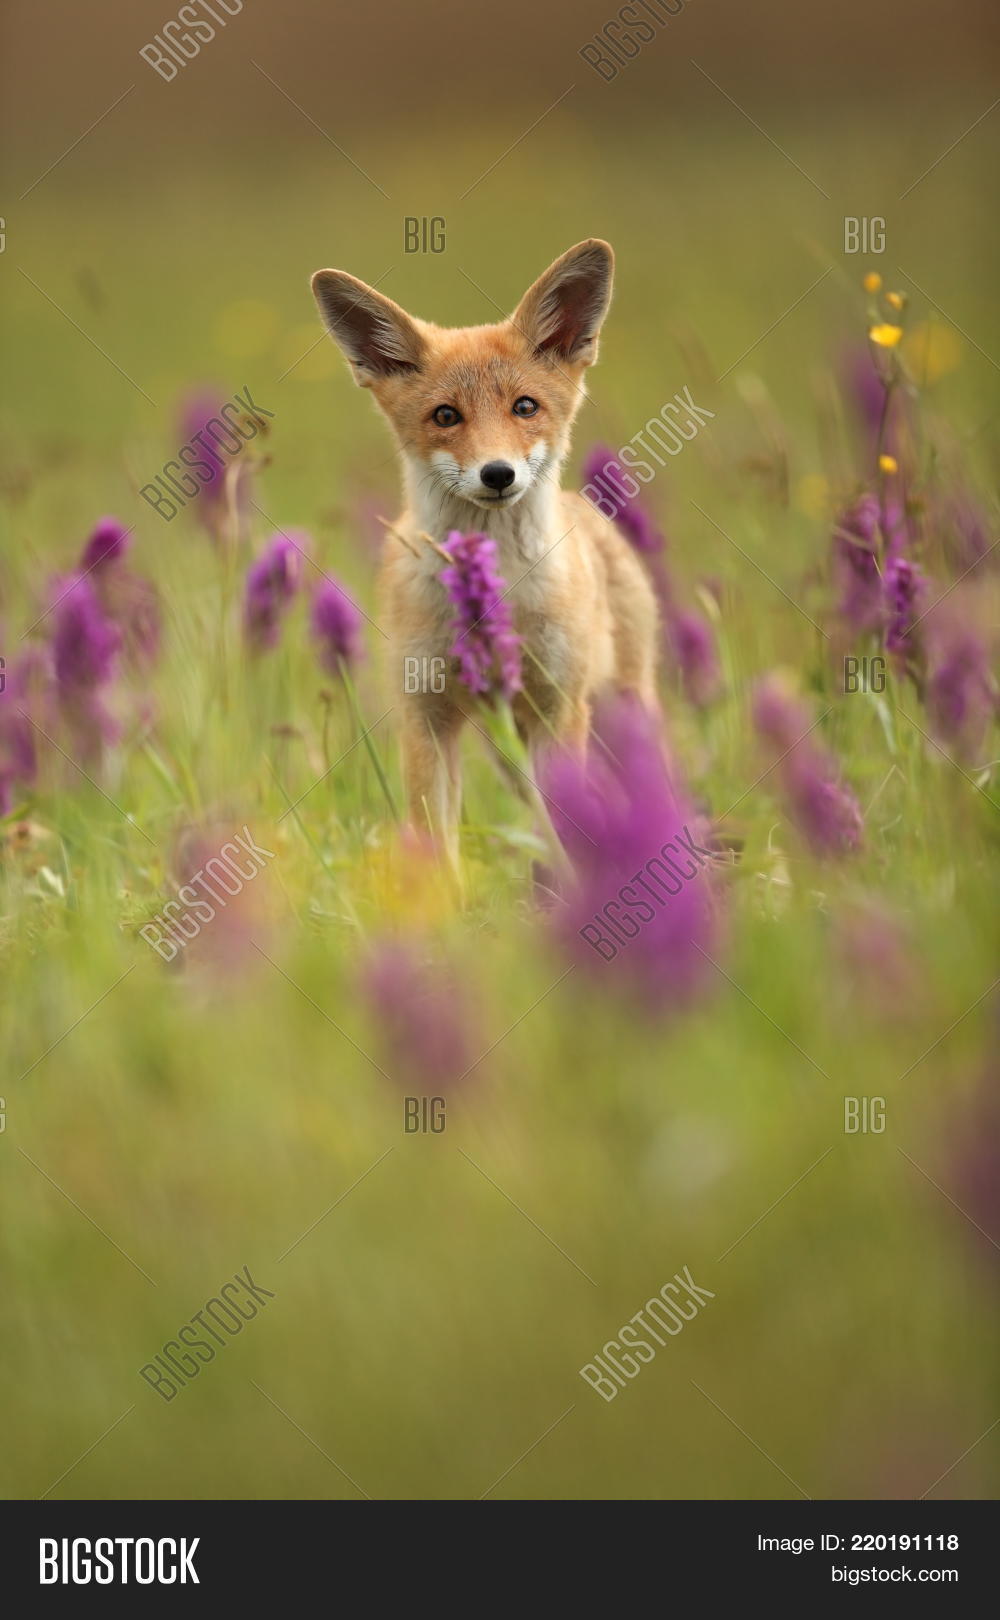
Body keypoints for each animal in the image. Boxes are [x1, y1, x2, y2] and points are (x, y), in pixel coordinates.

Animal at [310, 239, 659, 864]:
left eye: (525, 407)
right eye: (446, 415)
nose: (498, 473)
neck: (499, 597)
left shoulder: (556, 706)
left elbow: (571, 824)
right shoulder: (426, 716)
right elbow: (437, 846)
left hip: (616, 709)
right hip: (507, 748)